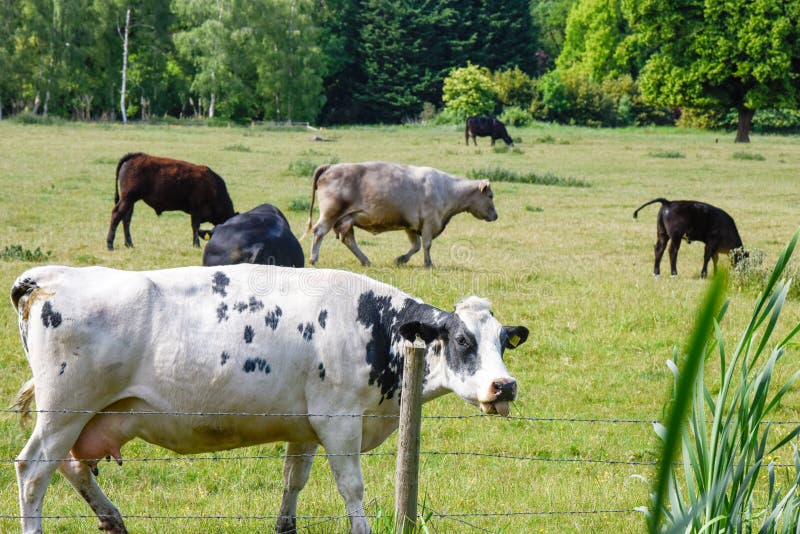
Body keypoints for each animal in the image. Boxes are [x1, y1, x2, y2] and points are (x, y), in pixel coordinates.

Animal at [10, 264, 529, 534]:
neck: (376, 326)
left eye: (504, 341)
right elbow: (352, 488)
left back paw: (112, 518)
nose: (505, 386)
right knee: (34, 471)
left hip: (89, 418)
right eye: (462, 340)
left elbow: (293, 480)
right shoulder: (339, 419)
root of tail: (50, 275)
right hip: (63, 411)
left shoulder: (307, 425)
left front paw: (285, 526)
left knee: (72, 466)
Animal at [106, 153, 236, 250]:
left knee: (126, 219)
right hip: (128, 198)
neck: (213, 187)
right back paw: (110, 245)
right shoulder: (196, 210)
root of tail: (135, 156)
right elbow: (195, 226)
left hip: (130, 200)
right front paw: (196, 245)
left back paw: (129, 244)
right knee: (117, 215)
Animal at [304, 161, 498, 268]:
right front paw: (428, 263)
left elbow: (416, 245)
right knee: (319, 232)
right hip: (330, 213)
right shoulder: (429, 223)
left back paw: (365, 260)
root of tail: (331, 167)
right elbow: (426, 245)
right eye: (490, 196)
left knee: (349, 240)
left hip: (347, 219)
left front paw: (400, 259)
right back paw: (314, 259)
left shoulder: (411, 225)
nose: (496, 216)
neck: (446, 189)